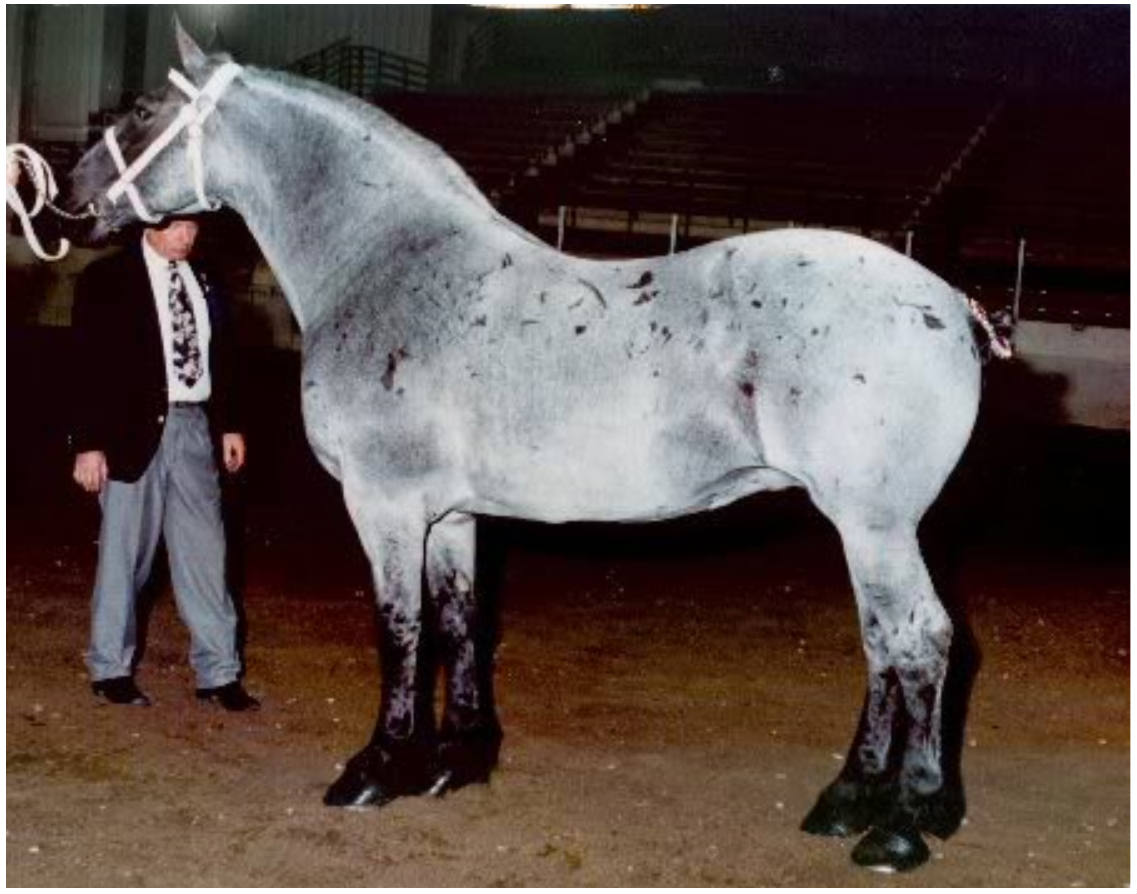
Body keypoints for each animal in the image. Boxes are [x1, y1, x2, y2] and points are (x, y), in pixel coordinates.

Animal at [57, 24, 1004, 872]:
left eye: (140, 111)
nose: (69, 188)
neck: (391, 265)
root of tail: (949, 303)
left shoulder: (384, 503)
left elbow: (399, 627)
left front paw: (377, 769)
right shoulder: (451, 514)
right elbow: (459, 619)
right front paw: (457, 762)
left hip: (873, 524)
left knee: (917, 641)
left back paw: (902, 825)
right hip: (868, 529)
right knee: (883, 647)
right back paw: (849, 800)